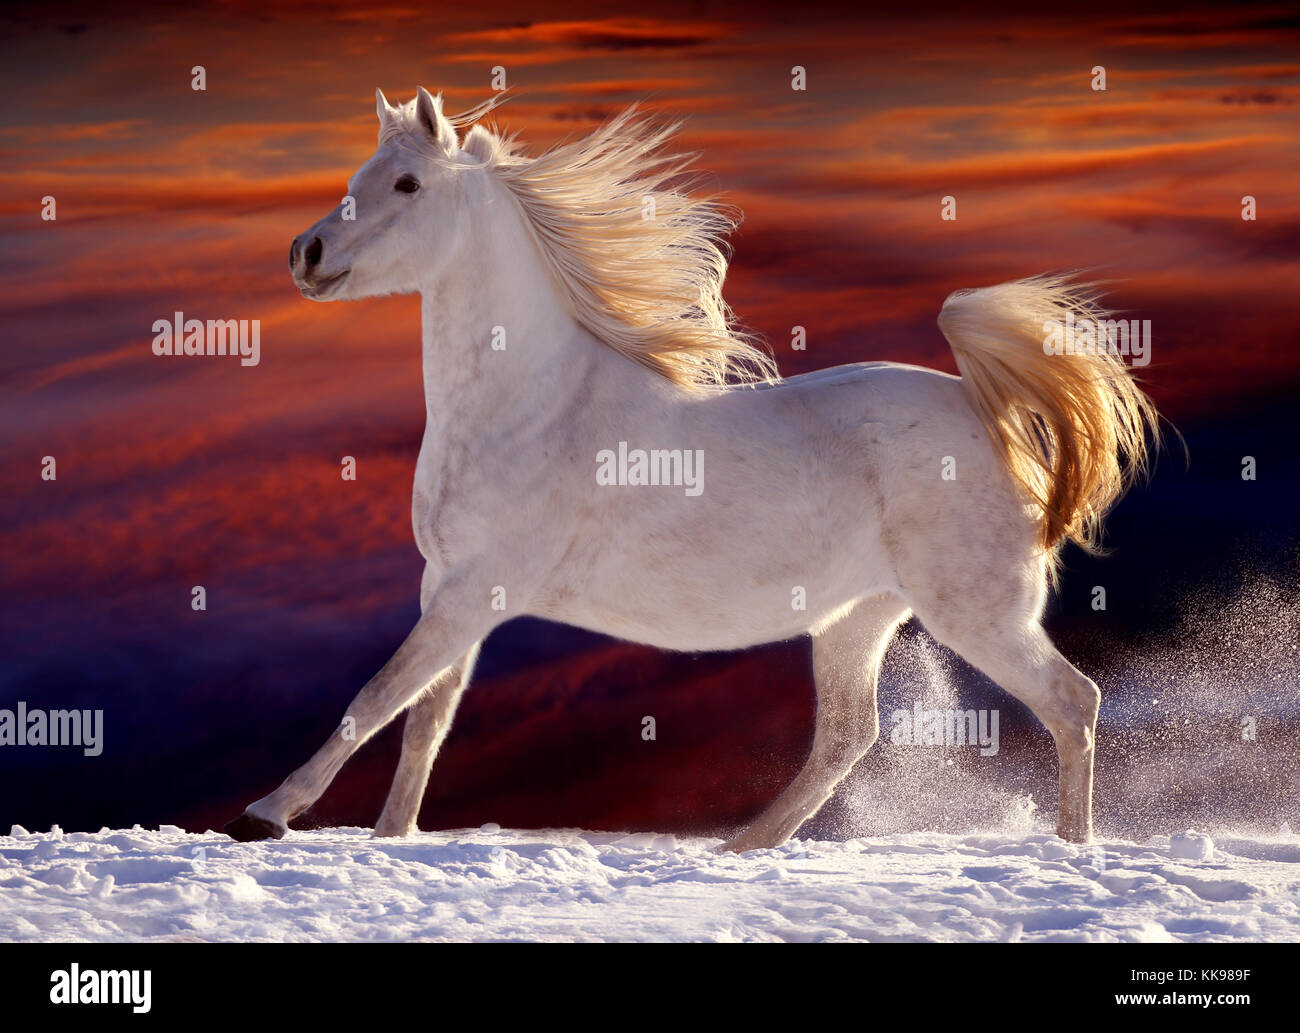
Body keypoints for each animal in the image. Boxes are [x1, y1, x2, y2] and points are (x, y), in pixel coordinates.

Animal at [223, 87, 1159, 851]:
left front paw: (266, 813)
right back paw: (741, 847)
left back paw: (1072, 853)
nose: (305, 254)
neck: (533, 401)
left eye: (407, 185)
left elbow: (376, 695)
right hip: (857, 616)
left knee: (1073, 702)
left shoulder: (472, 591)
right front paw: (391, 838)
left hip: (978, 613)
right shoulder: (450, 590)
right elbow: (425, 720)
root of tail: (984, 411)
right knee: (848, 734)